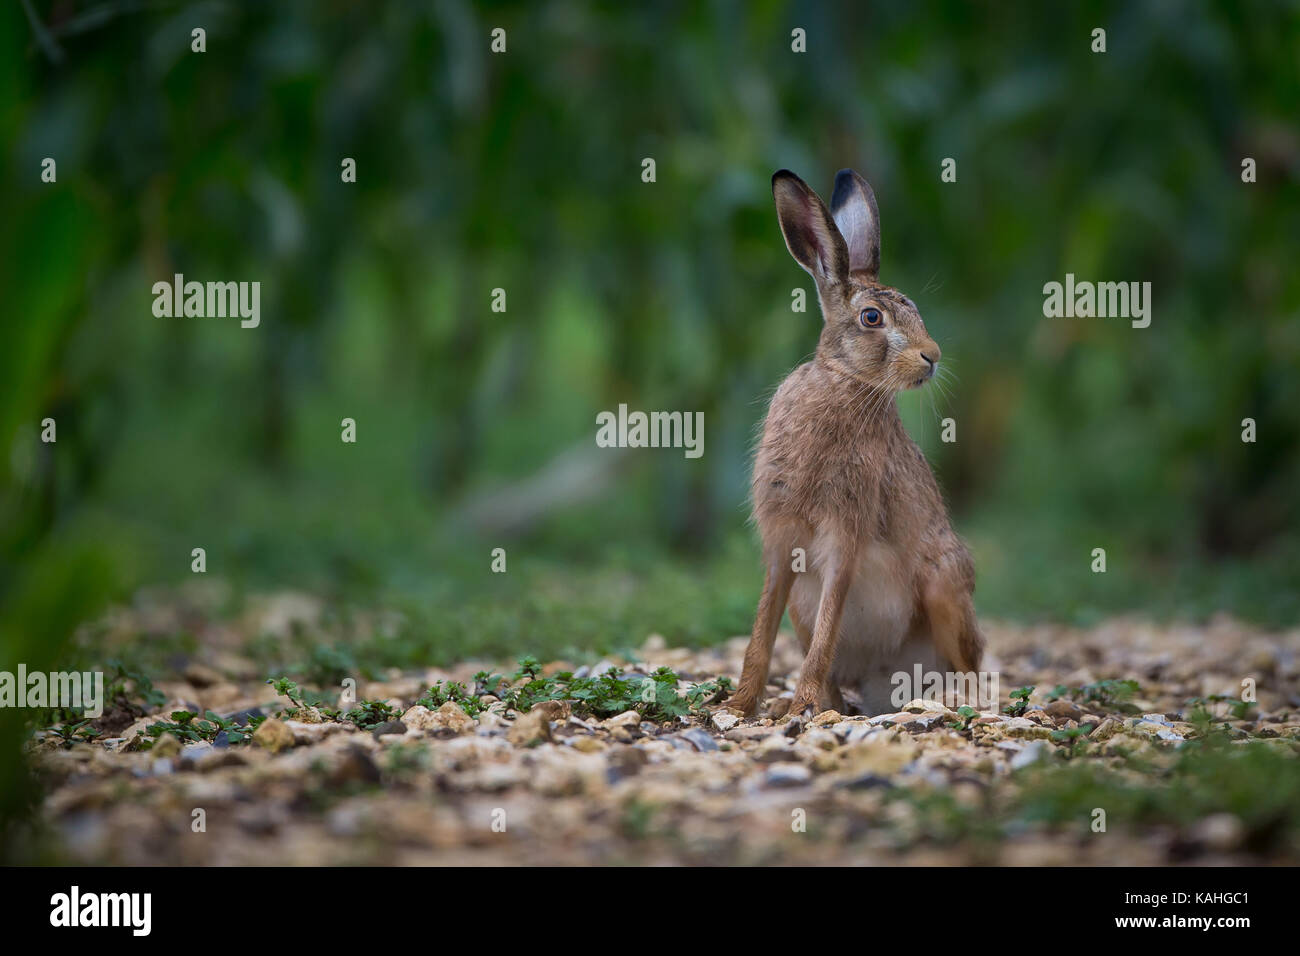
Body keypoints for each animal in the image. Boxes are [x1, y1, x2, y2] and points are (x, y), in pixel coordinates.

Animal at [722, 168, 984, 720]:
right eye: (872, 318)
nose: (933, 356)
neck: (846, 381)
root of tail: (888, 679)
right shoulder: (783, 545)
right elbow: (761, 631)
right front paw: (742, 704)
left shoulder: (845, 534)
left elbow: (827, 629)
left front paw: (798, 707)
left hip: (945, 585)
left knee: (972, 668)